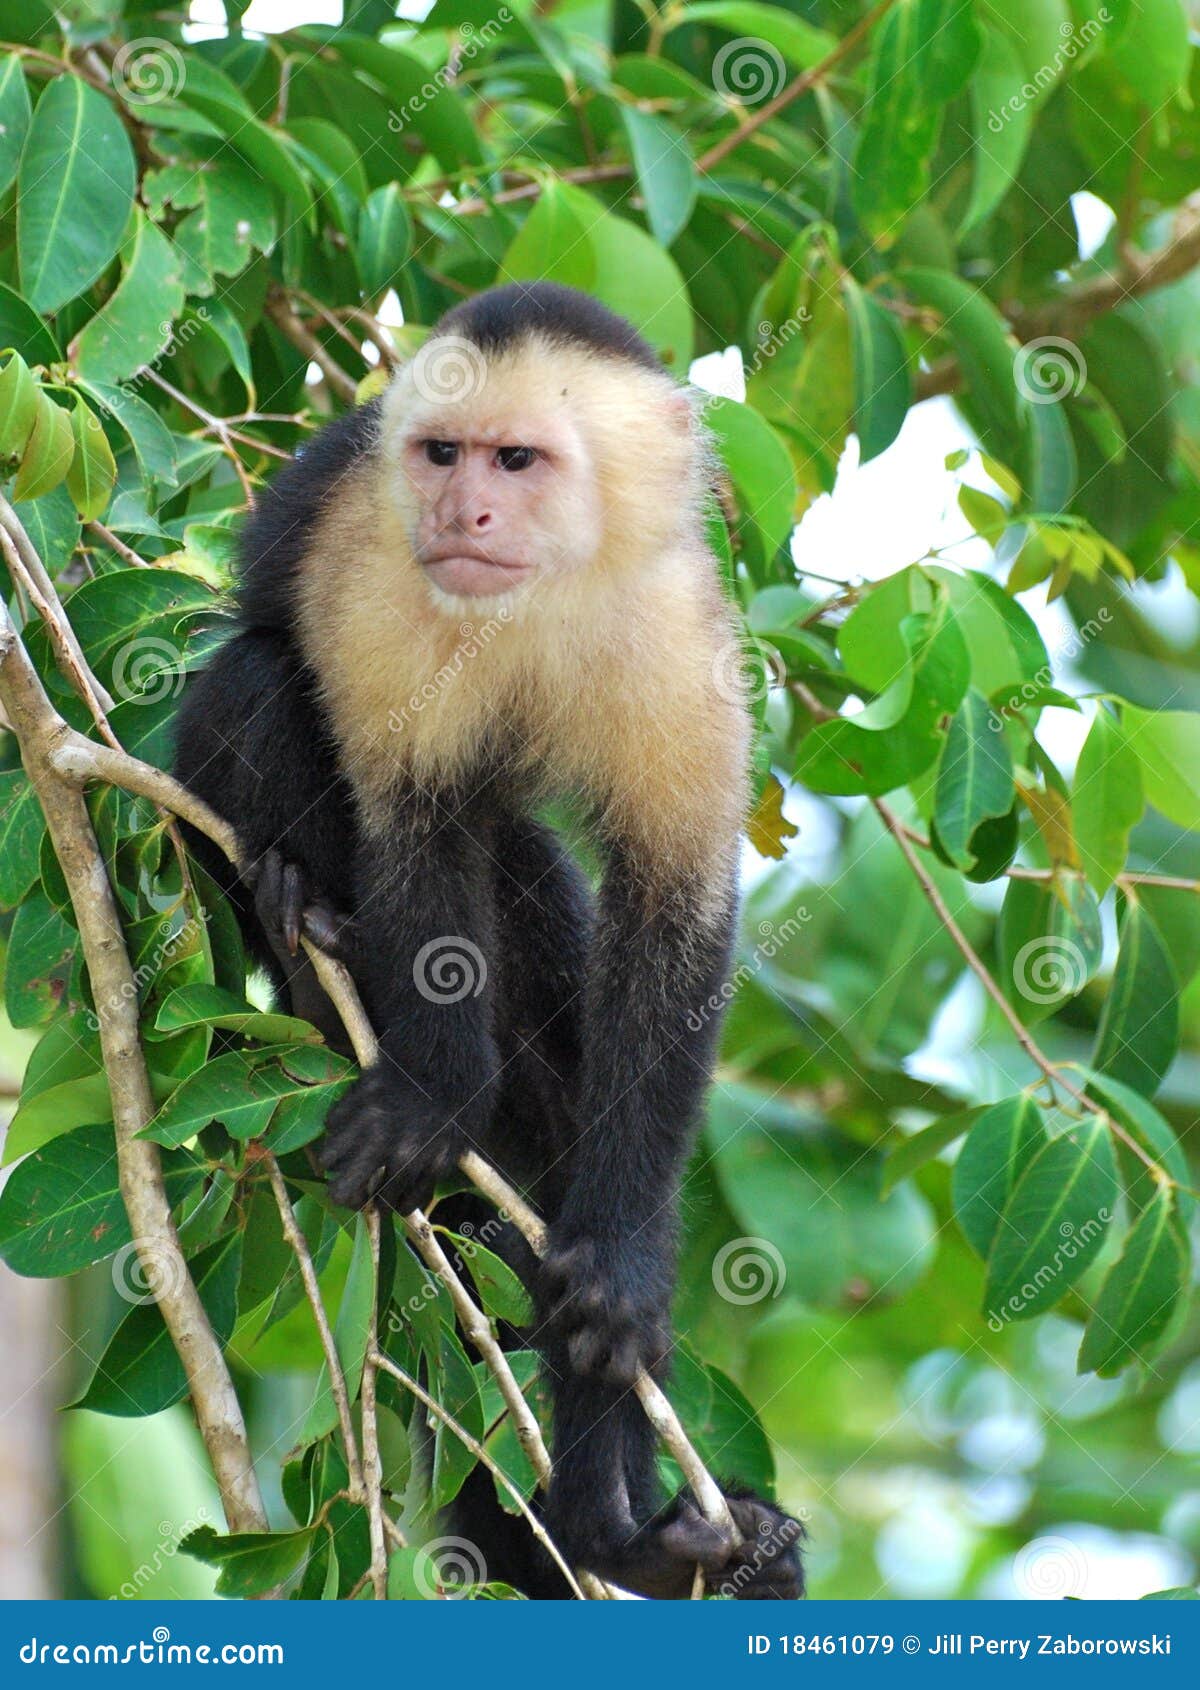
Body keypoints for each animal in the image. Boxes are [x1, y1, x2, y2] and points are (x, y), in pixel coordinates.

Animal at [172, 281, 804, 1600]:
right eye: (441, 454)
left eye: (516, 461)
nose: (461, 510)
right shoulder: (380, 587)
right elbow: (421, 833)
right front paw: (431, 1103)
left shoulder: (681, 633)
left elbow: (671, 917)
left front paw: (619, 1267)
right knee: (250, 683)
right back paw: (310, 943)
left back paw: (615, 1516)